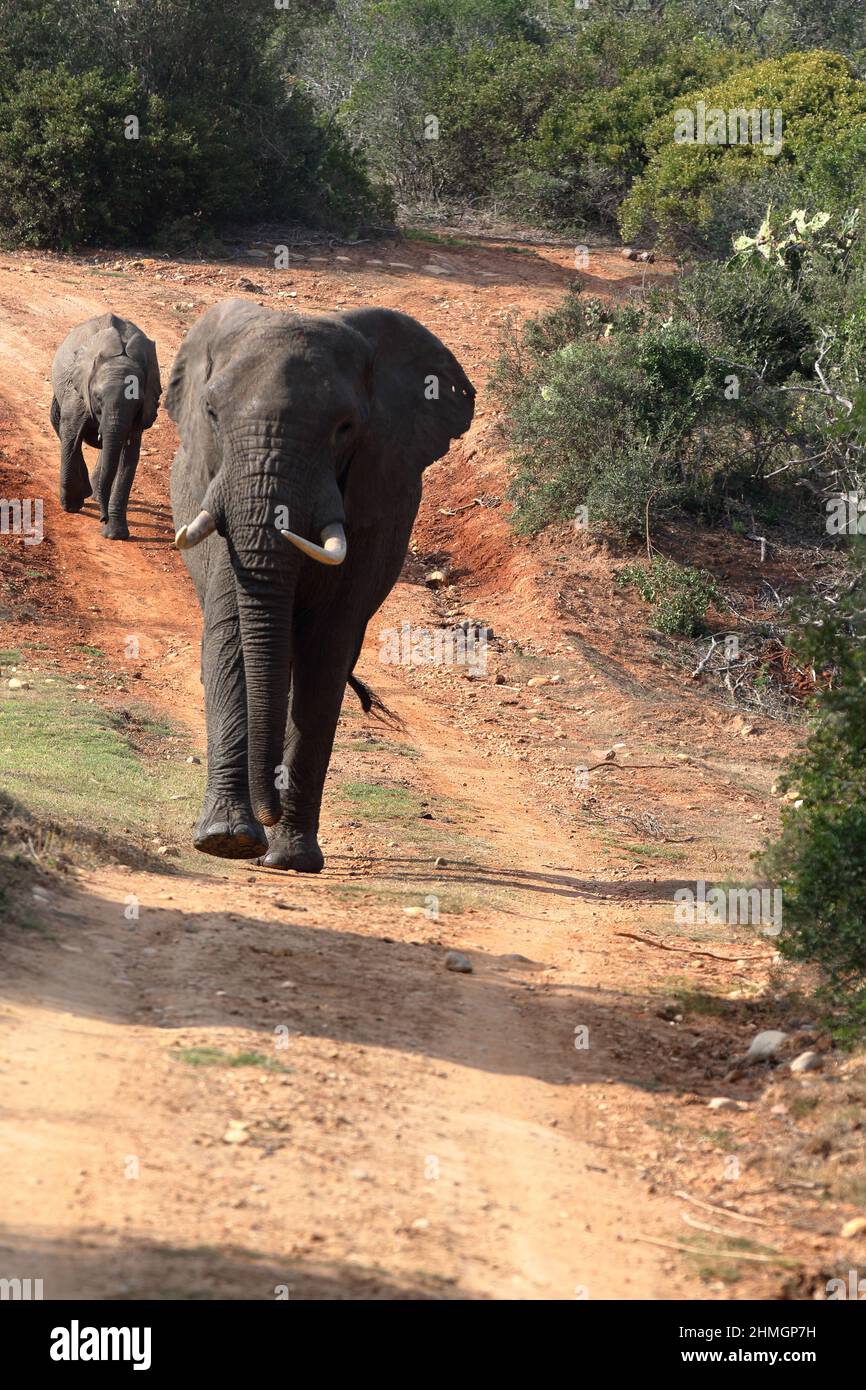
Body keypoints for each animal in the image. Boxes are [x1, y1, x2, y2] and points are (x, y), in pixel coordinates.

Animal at [50, 313, 161, 539]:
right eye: (98, 398)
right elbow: (71, 434)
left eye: (137, 403)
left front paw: (115, 535)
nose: (103, 518)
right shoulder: (78, 392)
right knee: (59, 424)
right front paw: (71, 506)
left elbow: (129, 455)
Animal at [167, 298, 475, 871]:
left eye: (345, 427)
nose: (265, 811)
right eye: (212, 415)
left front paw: (289, 858)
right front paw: (226, 841)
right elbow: (229, 635)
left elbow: (326, 654)